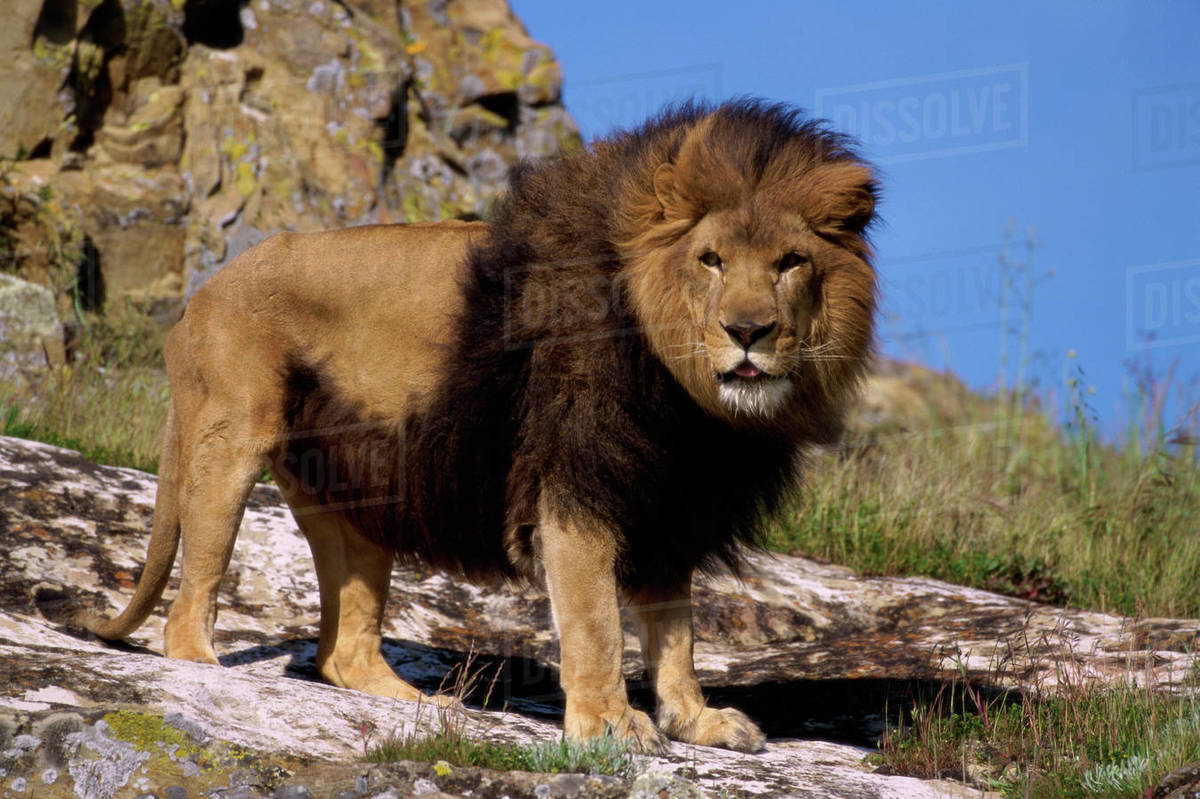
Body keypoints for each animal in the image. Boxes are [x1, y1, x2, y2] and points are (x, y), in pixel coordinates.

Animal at [77, 100, 879, 754]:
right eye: (711, 260)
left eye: (790, 262)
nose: (748, 332)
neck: (694, 405)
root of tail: (201, 295)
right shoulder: (577, 481)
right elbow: (595, 618)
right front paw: (610, 726)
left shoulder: (667, 499)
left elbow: (676, 631)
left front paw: (695, 720)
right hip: (228, 442)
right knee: (191, 602)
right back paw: (212, 671)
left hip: (354, 493)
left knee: (343, 649)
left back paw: (422, 706)